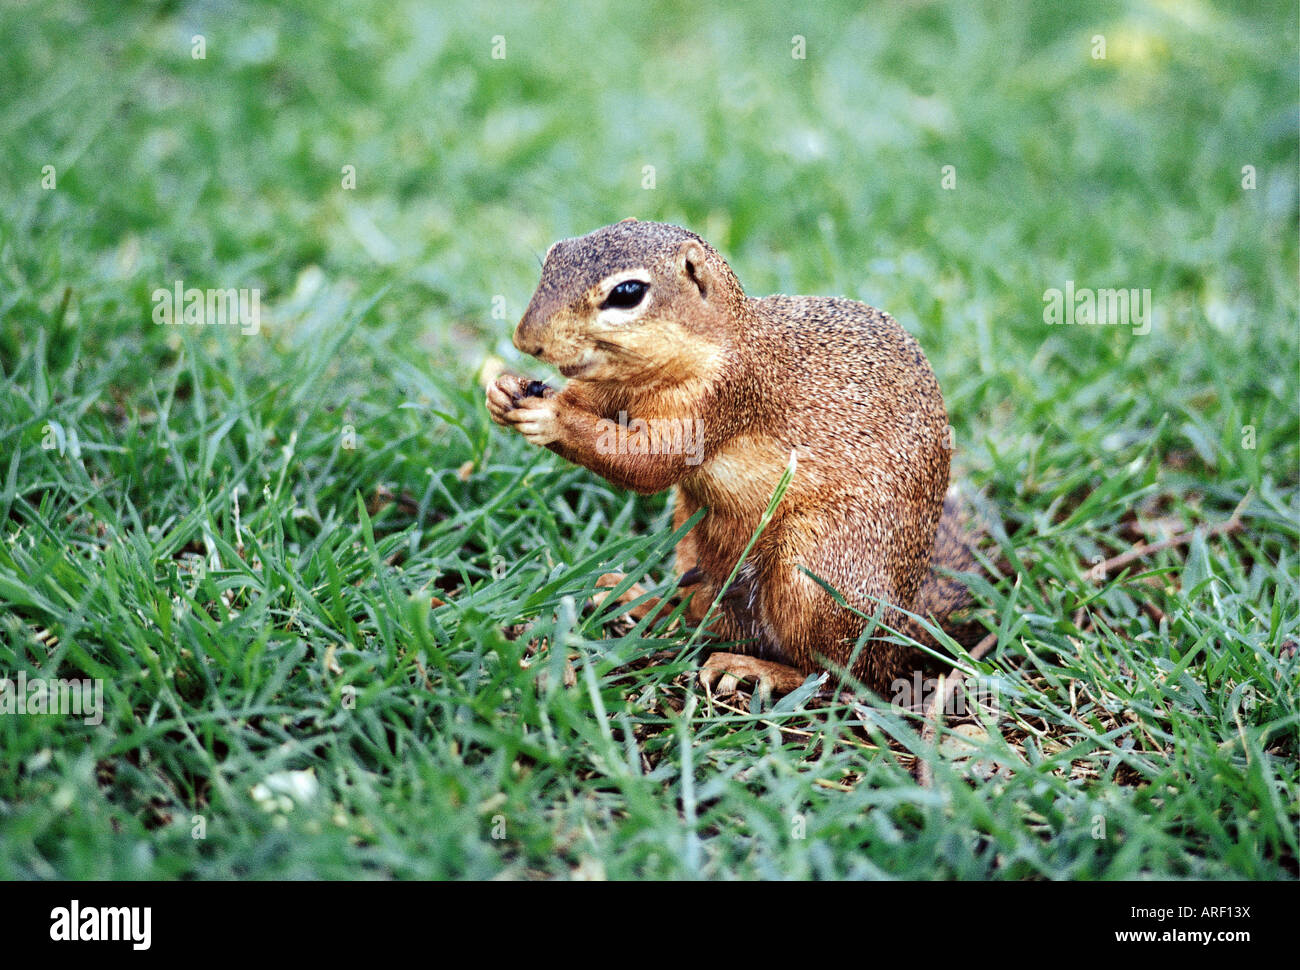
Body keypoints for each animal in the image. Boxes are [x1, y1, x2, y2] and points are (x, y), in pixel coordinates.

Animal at [486, 218, 979, 701]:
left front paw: (551, 417)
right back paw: (637, 600)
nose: (526, 340)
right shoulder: (609, 389)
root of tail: (899, 632)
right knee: (710, 621)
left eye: (627, 293)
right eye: (554, 255)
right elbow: (588, 405)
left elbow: (647, 465)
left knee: (840, 677)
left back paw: (754, 670)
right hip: (696, 546)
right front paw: (505, 391)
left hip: (816, 571)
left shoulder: (723, 396)